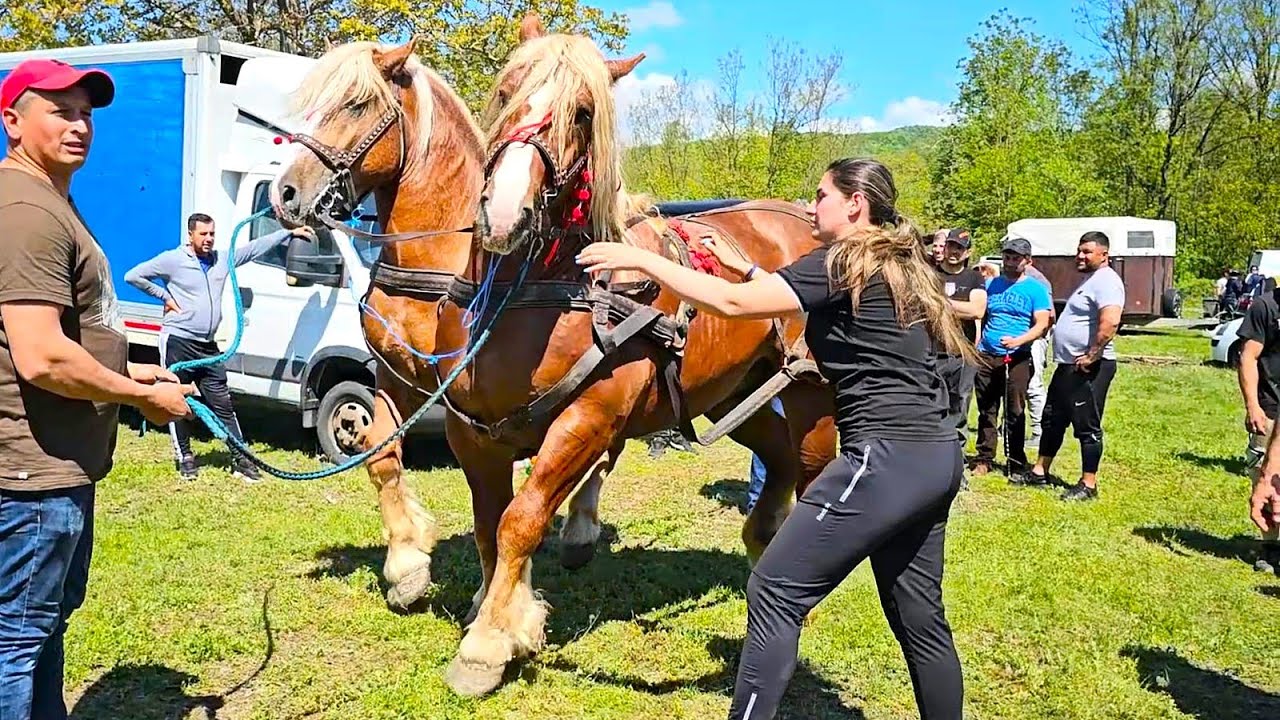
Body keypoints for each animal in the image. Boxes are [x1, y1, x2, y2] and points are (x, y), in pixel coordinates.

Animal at [431, 15, 838, 696]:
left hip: (811, 395)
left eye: (583, 112)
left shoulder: (587, 421)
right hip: (733, 393)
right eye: (508, 89)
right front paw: (504, 618)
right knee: (778, 461)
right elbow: (490, 525)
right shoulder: (474, 431)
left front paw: (486, 647)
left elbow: (521, 520)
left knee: (811, 473)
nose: (503, 212)